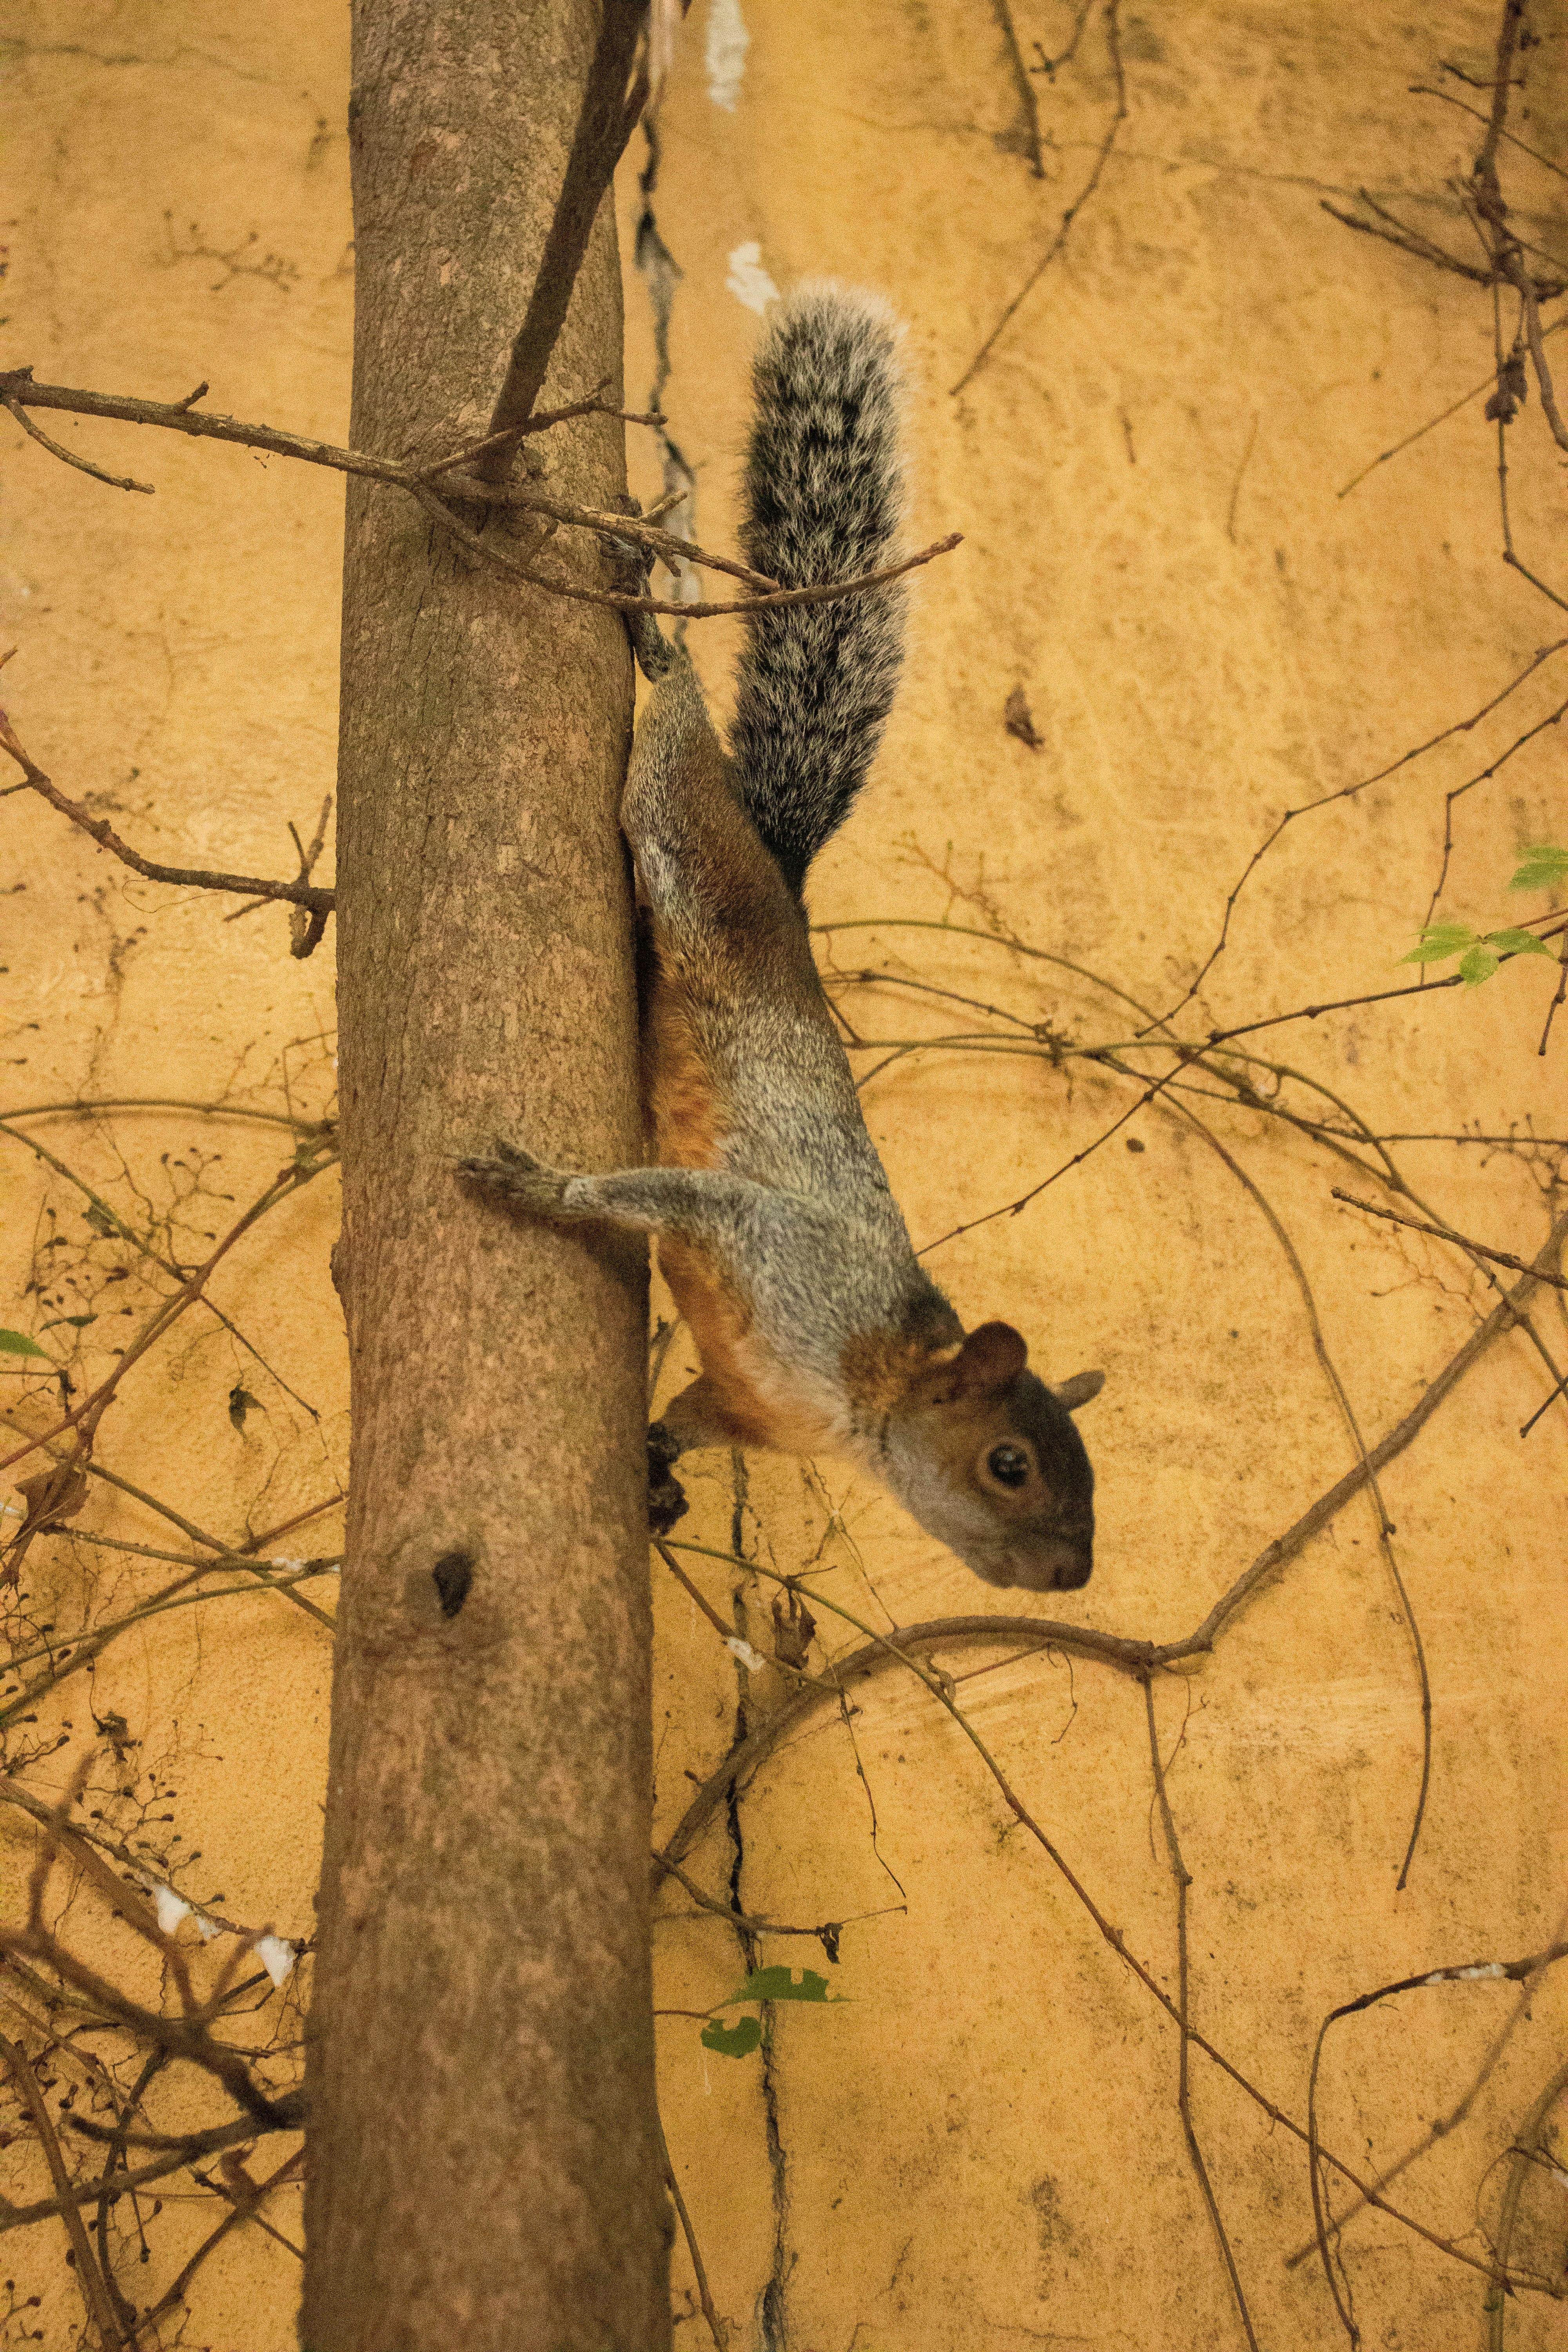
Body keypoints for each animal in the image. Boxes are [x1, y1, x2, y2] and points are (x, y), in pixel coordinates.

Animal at [461, 283, 1104, 1593]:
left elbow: (689, 1418)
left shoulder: (749, 1400)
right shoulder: (769, 1244)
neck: (863, 1400)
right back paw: (655, 626)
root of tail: (777, 875)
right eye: (1009, 1463)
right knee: (672, 732)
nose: (1074, 1576)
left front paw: (659, 1469)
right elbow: (649, 1190)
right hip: (684, 842)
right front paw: (536, 1183)